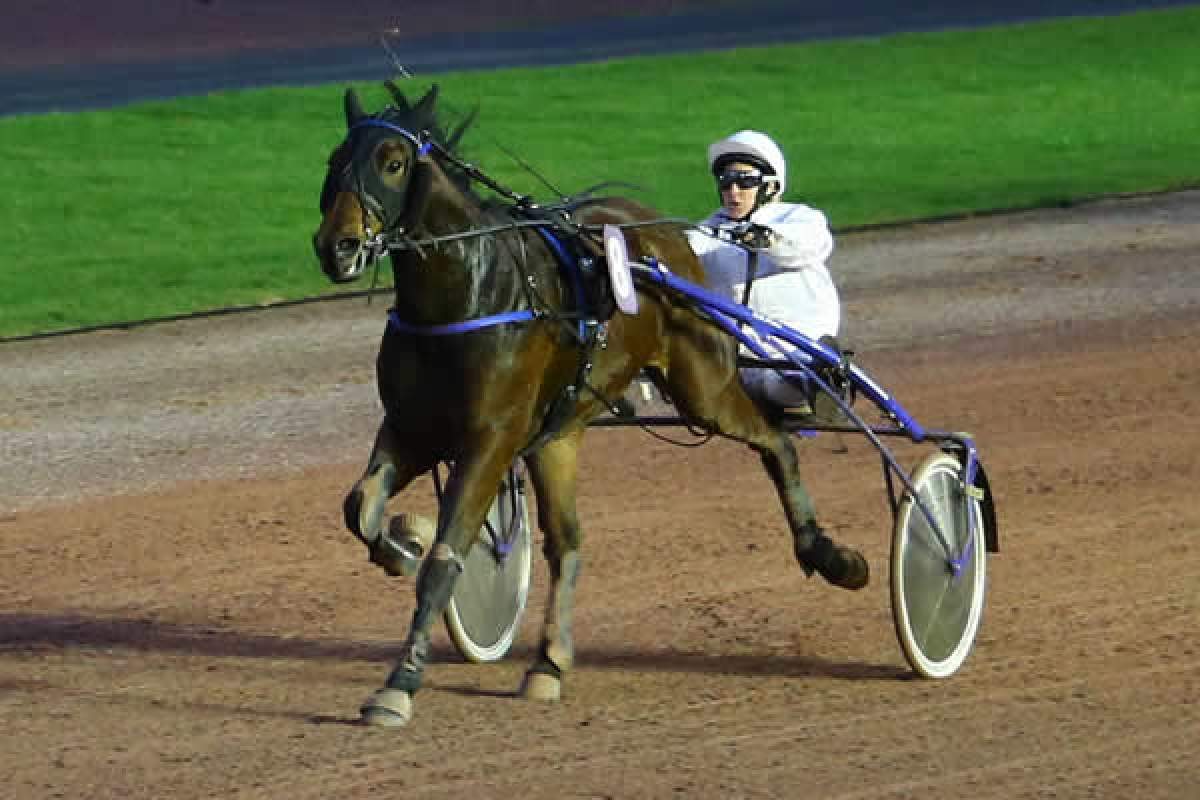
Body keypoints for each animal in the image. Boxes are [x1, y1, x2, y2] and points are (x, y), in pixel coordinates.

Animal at [312, 82, 869, 727]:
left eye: (394, 162)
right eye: (334, 160)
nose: (336, 246)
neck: (465, 297)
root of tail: (658, 235)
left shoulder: (490, 438)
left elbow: (445, 560)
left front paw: (398, 684)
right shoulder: (411, 428)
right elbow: (360, 507)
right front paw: (402, 544)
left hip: (704, 387)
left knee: (775, 440)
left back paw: (830, 553)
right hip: (558, 435)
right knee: (567, 541)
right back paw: (548, 663)